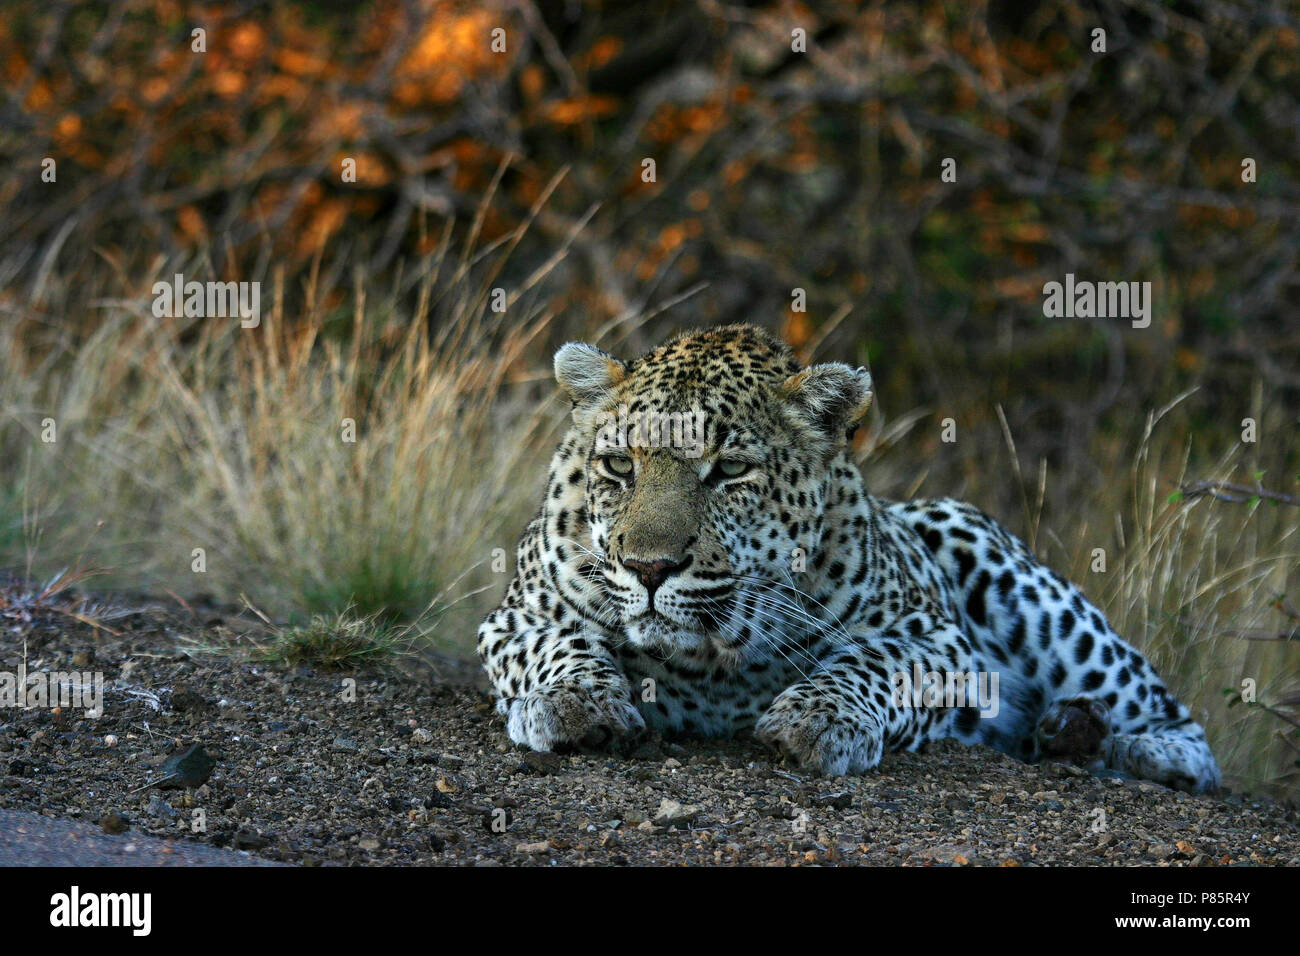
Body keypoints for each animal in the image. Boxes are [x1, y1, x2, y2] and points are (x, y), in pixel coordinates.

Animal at [476, 323, 1220, 792]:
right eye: (618, 465)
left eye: (729, 470)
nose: (649, 568)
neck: (711, 660)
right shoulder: (512, 618)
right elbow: (558, 644)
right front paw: (573, 702)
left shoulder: (937, 639)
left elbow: (871, 662)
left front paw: (817, 720)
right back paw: (1067, 733)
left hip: (996, 565)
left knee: (1179, 724)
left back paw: (1126, 746)